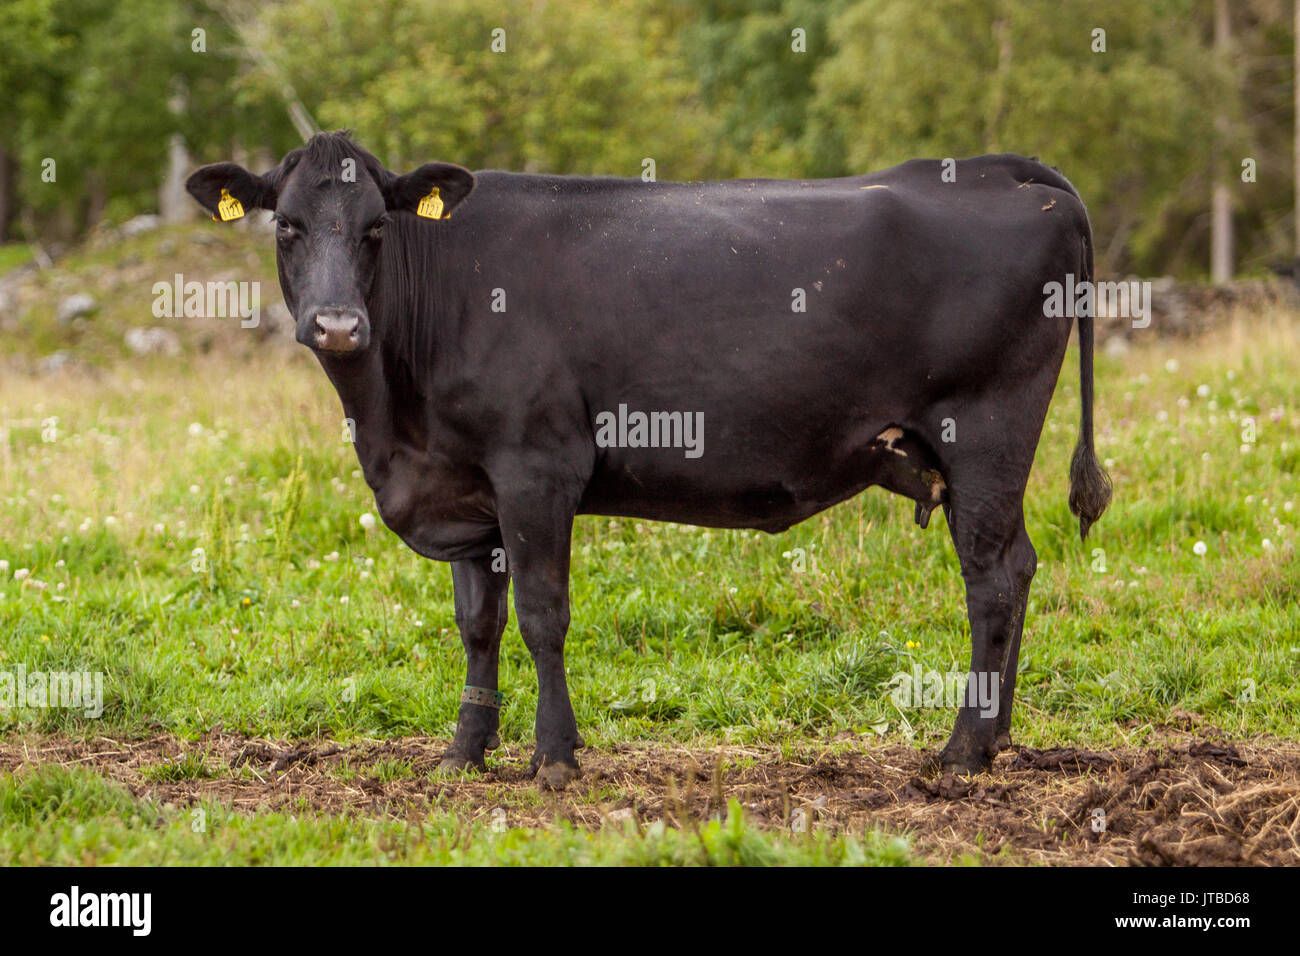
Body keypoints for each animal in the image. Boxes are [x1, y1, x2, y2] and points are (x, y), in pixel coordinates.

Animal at [187, 131, 1111, 788]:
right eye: (288, 225)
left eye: (377, 227)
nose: (338, 324)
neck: (394, 425)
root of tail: (996, 170)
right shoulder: (466, 487)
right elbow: (477, 624)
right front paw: (464, 751)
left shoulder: (536, 466)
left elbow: (542, 614)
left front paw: (554, 757)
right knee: (1019, 565)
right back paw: (998, 735)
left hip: (986, 429)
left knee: (991, 578)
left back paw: (963, 751)